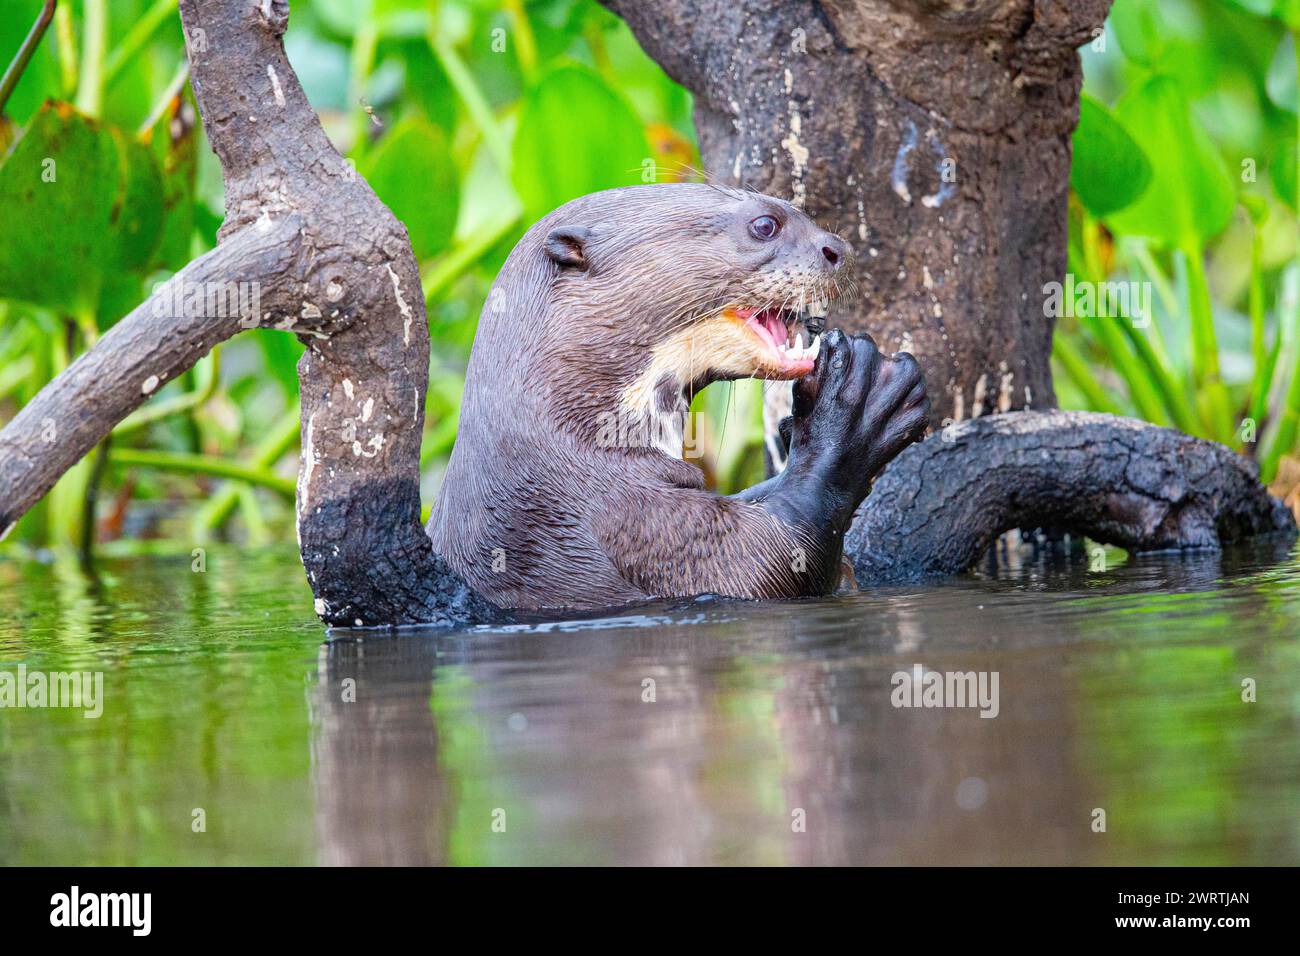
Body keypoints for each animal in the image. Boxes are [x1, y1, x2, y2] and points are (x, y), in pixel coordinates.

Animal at [427, 183, 928, 611]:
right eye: (765, 225)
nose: (839, 250)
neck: (564, 452)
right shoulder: (631, 522)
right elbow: (766, 563)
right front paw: (855, 409)